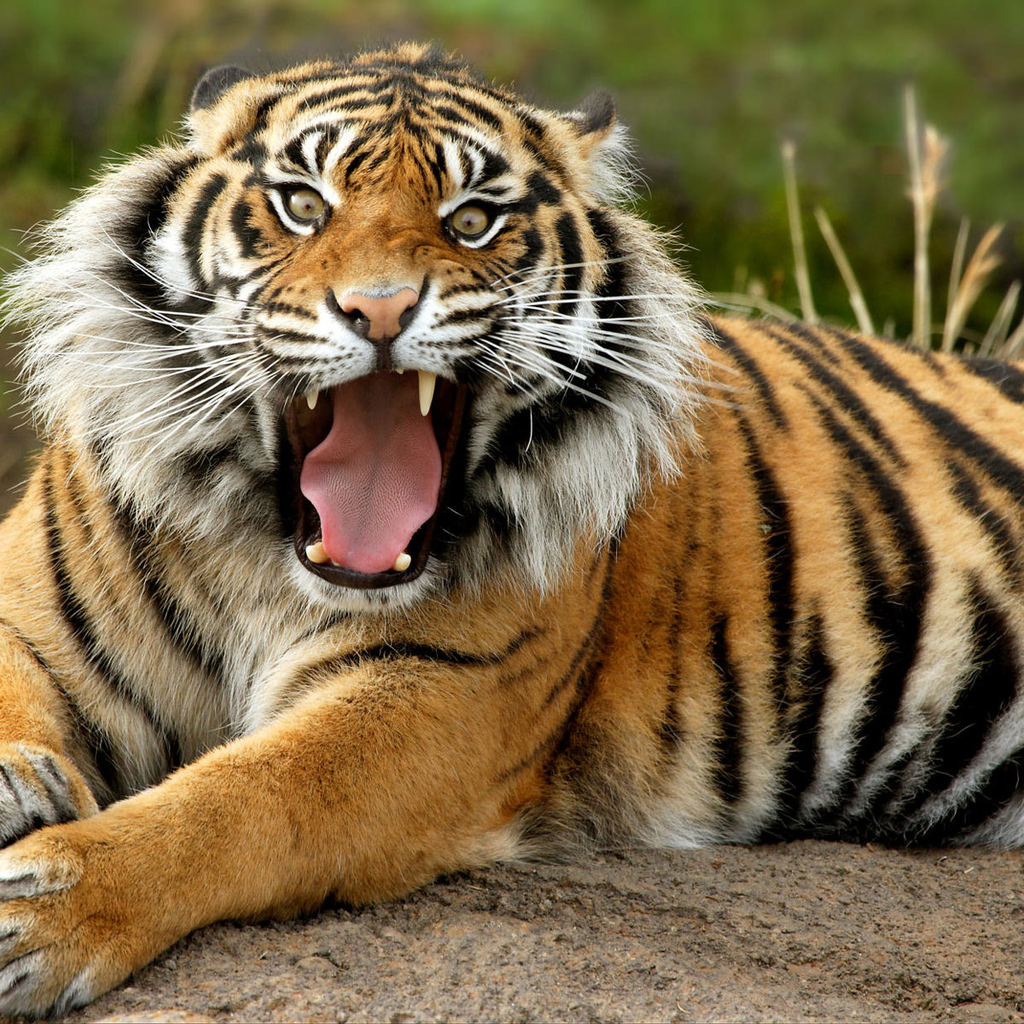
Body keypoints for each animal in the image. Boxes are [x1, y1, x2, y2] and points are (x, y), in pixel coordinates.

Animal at [0, 40, 1023, 1014]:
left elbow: (240, 799)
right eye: (301, 205)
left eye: (472, 220)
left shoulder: (440, 693)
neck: (263, 554)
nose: (380, 309)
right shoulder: (32, 609)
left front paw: (43, 915)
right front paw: (23, 789)